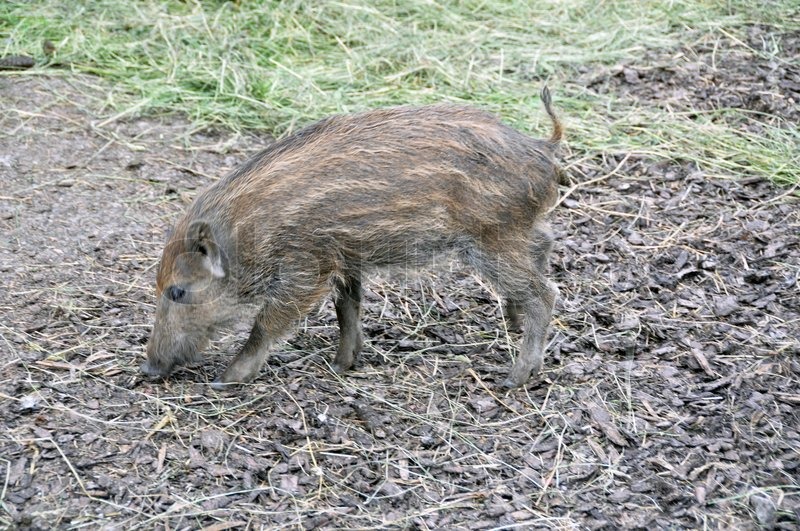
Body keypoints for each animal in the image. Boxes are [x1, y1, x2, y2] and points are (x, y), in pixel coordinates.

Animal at [141, 86, 567, 390]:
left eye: (177, 290)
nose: (148, 367)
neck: (247, 234)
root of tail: (543, 147)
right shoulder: (344, 257)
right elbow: (347, 307)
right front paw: (343, 364)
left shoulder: (306, 267)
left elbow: (267, 322)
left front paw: (226, 380)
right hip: (515, 233)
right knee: (545, 245)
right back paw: (512, 322)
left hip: (493, 238)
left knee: (545, 292)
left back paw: (516, 377)